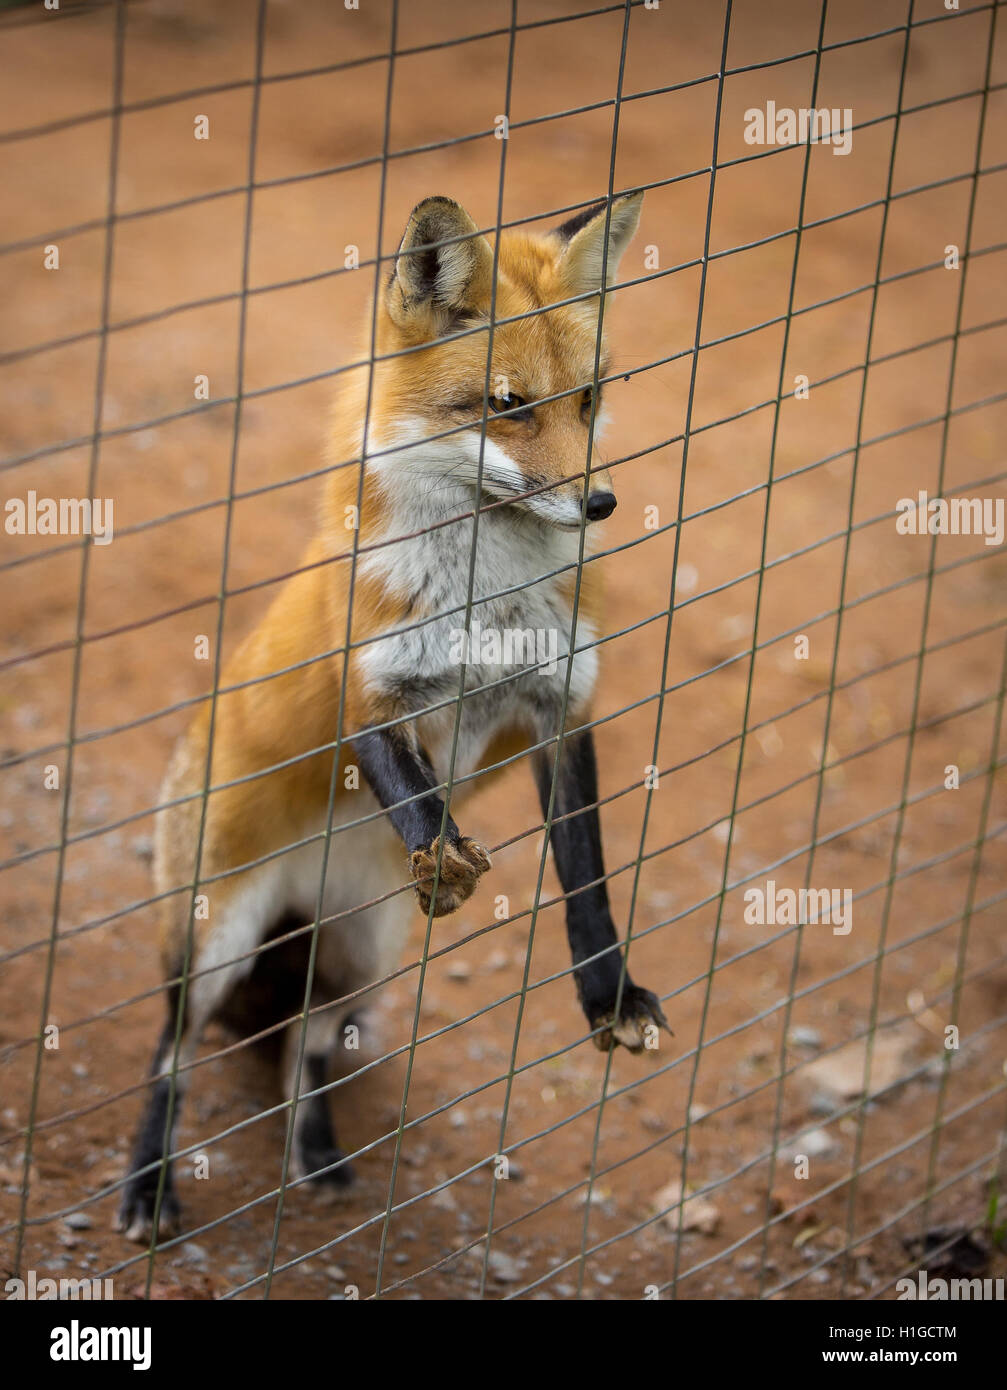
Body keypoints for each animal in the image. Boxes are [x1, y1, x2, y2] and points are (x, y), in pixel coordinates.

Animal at [118, 189, 669, 1242]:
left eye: (587, 400)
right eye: (507, 405)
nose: (602, 503)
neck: (486, 598)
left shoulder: (559, 708)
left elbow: (586, 876)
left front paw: (609, 994)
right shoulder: (366, 683)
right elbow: (408, 787)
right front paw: (443, 856)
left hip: (363, 959)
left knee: (305, 1046)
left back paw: (318, 1156)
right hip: (214, 941)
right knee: (169, 1054)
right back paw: (149, 1185)